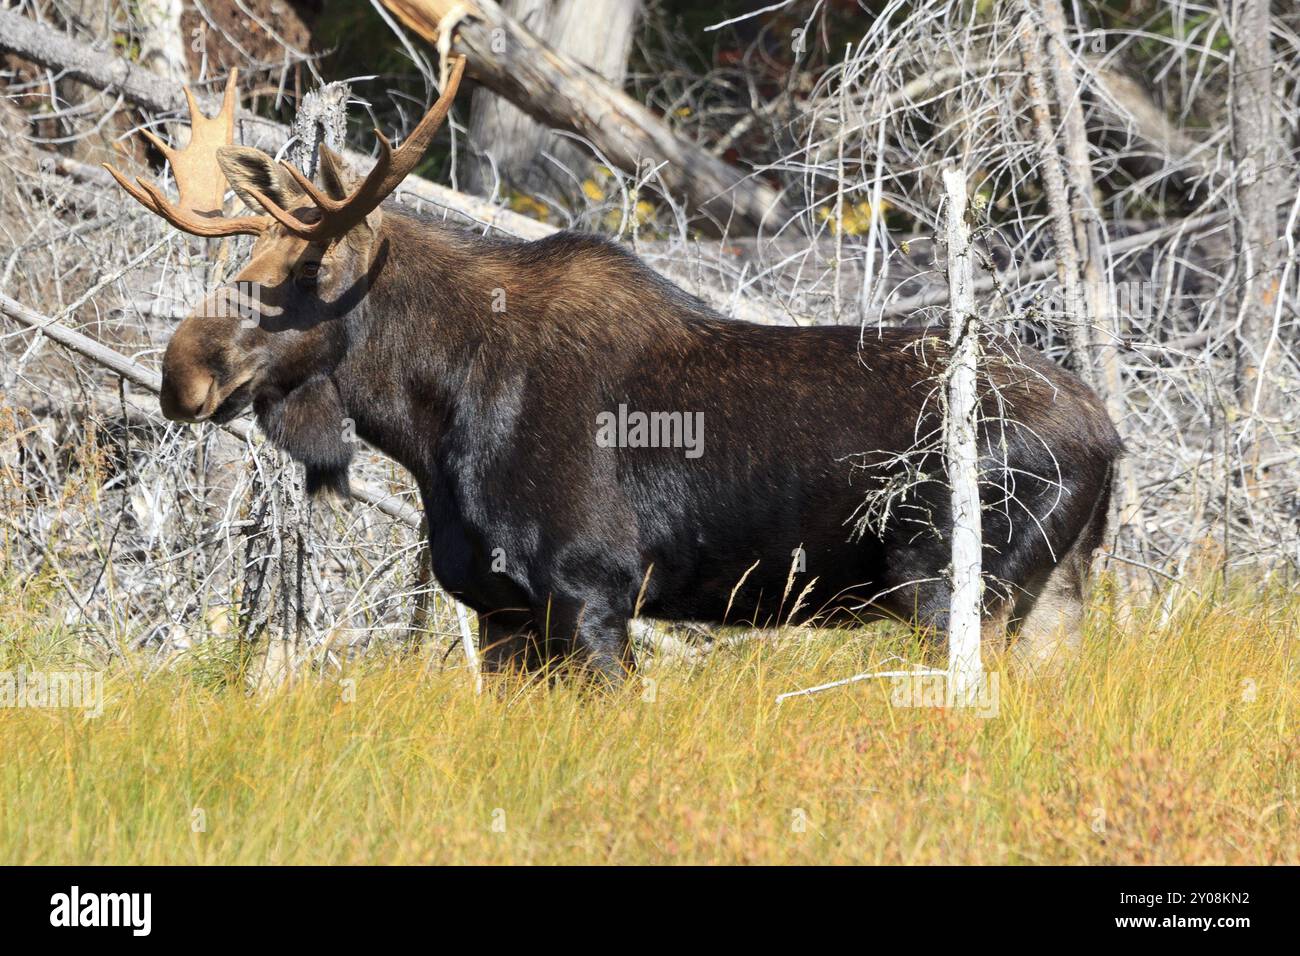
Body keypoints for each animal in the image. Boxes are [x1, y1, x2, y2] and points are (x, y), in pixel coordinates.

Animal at [105, 57, 1122, 683]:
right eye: (246, 262)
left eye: (307, 272)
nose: (181, 372)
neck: (433, 425)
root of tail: (1110, 435)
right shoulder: (499, 611)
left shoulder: (591, 591)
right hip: (1053, 598)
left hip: (955, 586)